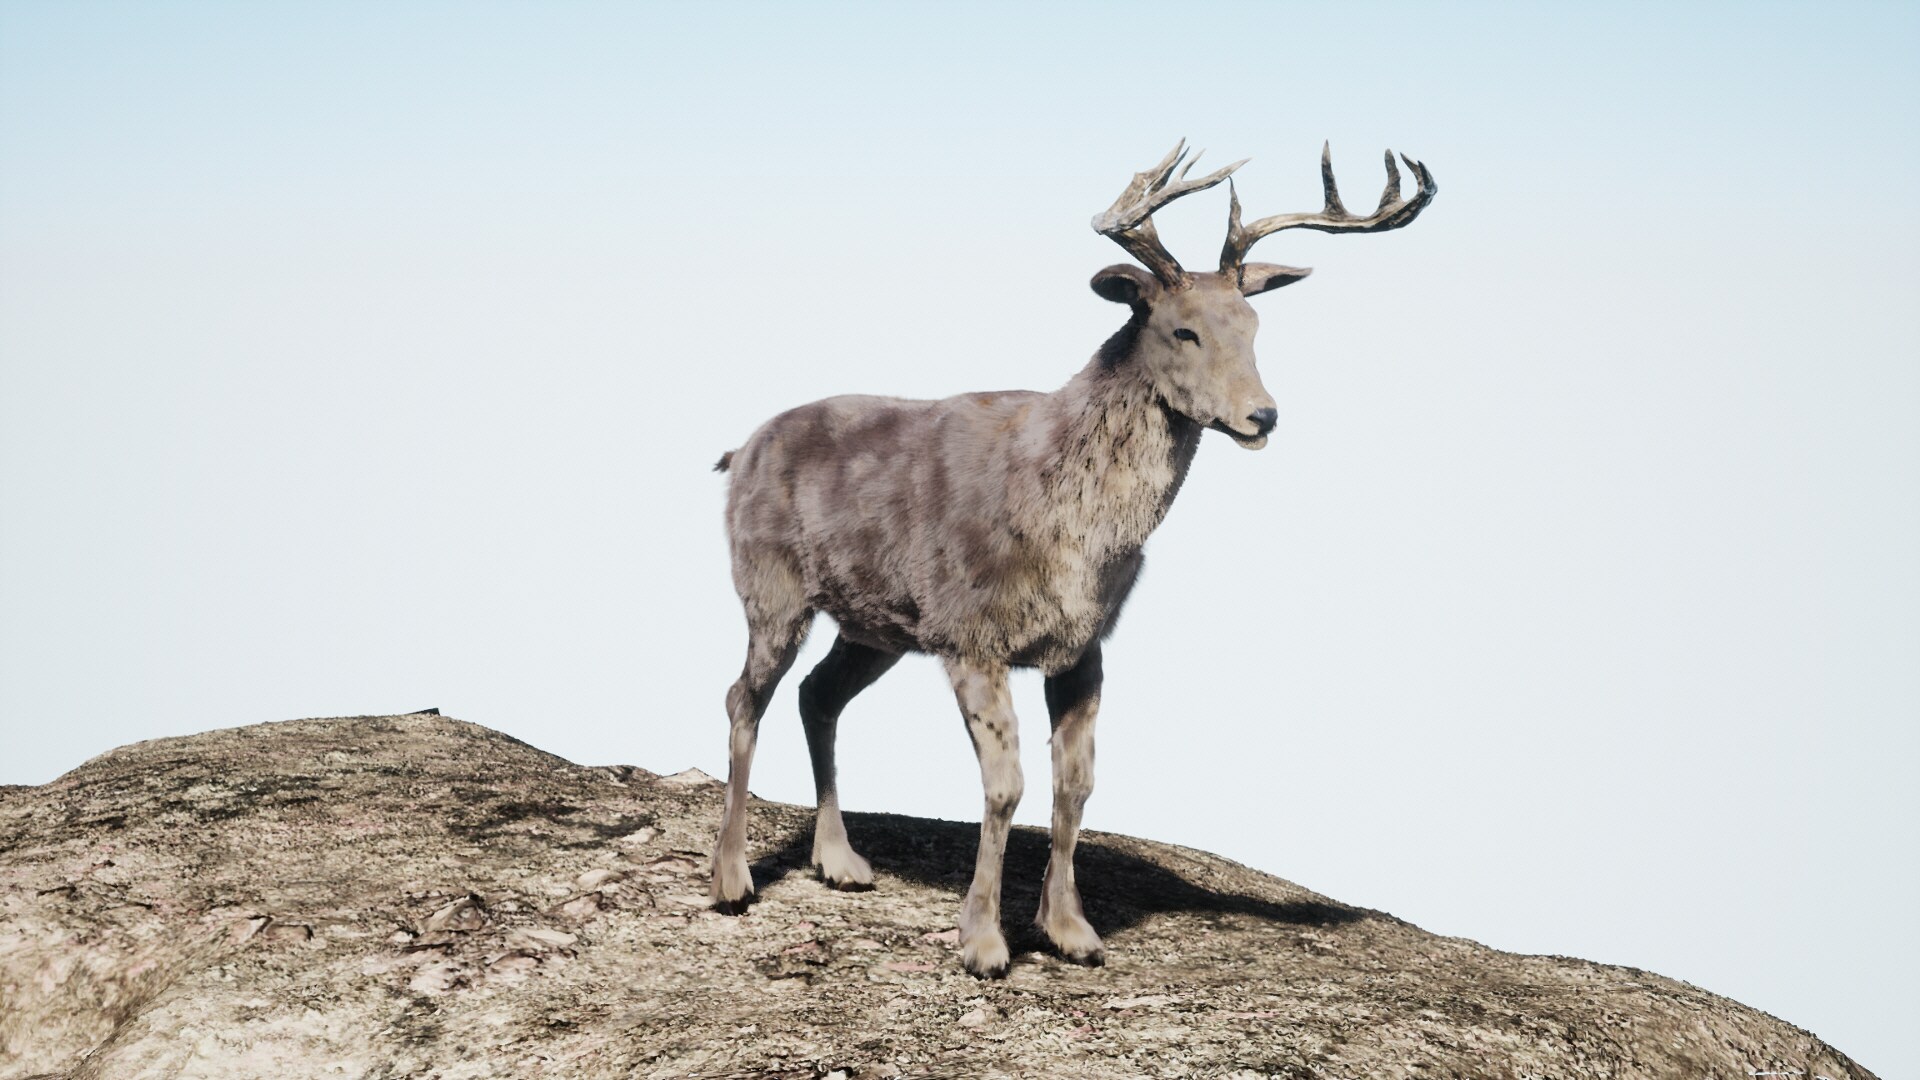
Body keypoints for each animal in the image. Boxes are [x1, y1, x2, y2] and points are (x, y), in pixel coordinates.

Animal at [707, 140, 1436, 978]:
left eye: (1254, 324)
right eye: (1182, 330)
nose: (1263, 415)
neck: (1074, 534)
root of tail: (737, 452)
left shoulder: (1084, 645)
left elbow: (1075, 786)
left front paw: (1070, 931)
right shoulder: (970, 631)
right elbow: (1005, 786)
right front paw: (984, 944)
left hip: (875, 625)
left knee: (817, 696)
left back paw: (841, 862)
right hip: (771, 586)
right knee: (743, 697)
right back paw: (730, 878)